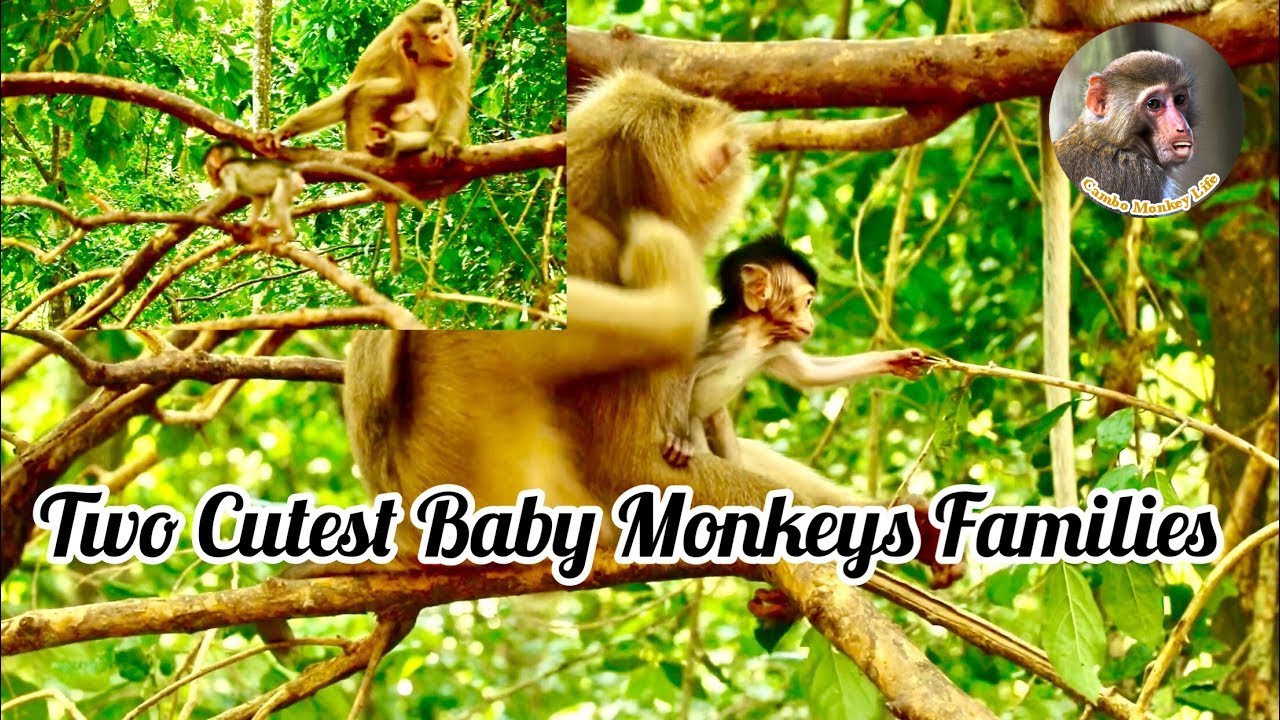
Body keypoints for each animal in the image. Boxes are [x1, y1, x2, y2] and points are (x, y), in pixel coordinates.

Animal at [272, 0, 471, 272]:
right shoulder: (384, 45)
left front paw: (440, 144)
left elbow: (456, 104)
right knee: (367, 94)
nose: (449, 46)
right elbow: (350, 93)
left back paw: (398, 144)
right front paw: (288, 128)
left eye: (448, 30)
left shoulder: (460, 59)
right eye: (435, 36)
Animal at [657, 233, 932, 469]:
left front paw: (898, 360)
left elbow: (809, 374)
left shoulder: (776, 347)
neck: (754, 335)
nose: (811, 321)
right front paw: (678, 440)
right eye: (808, 301)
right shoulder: (718, 337)